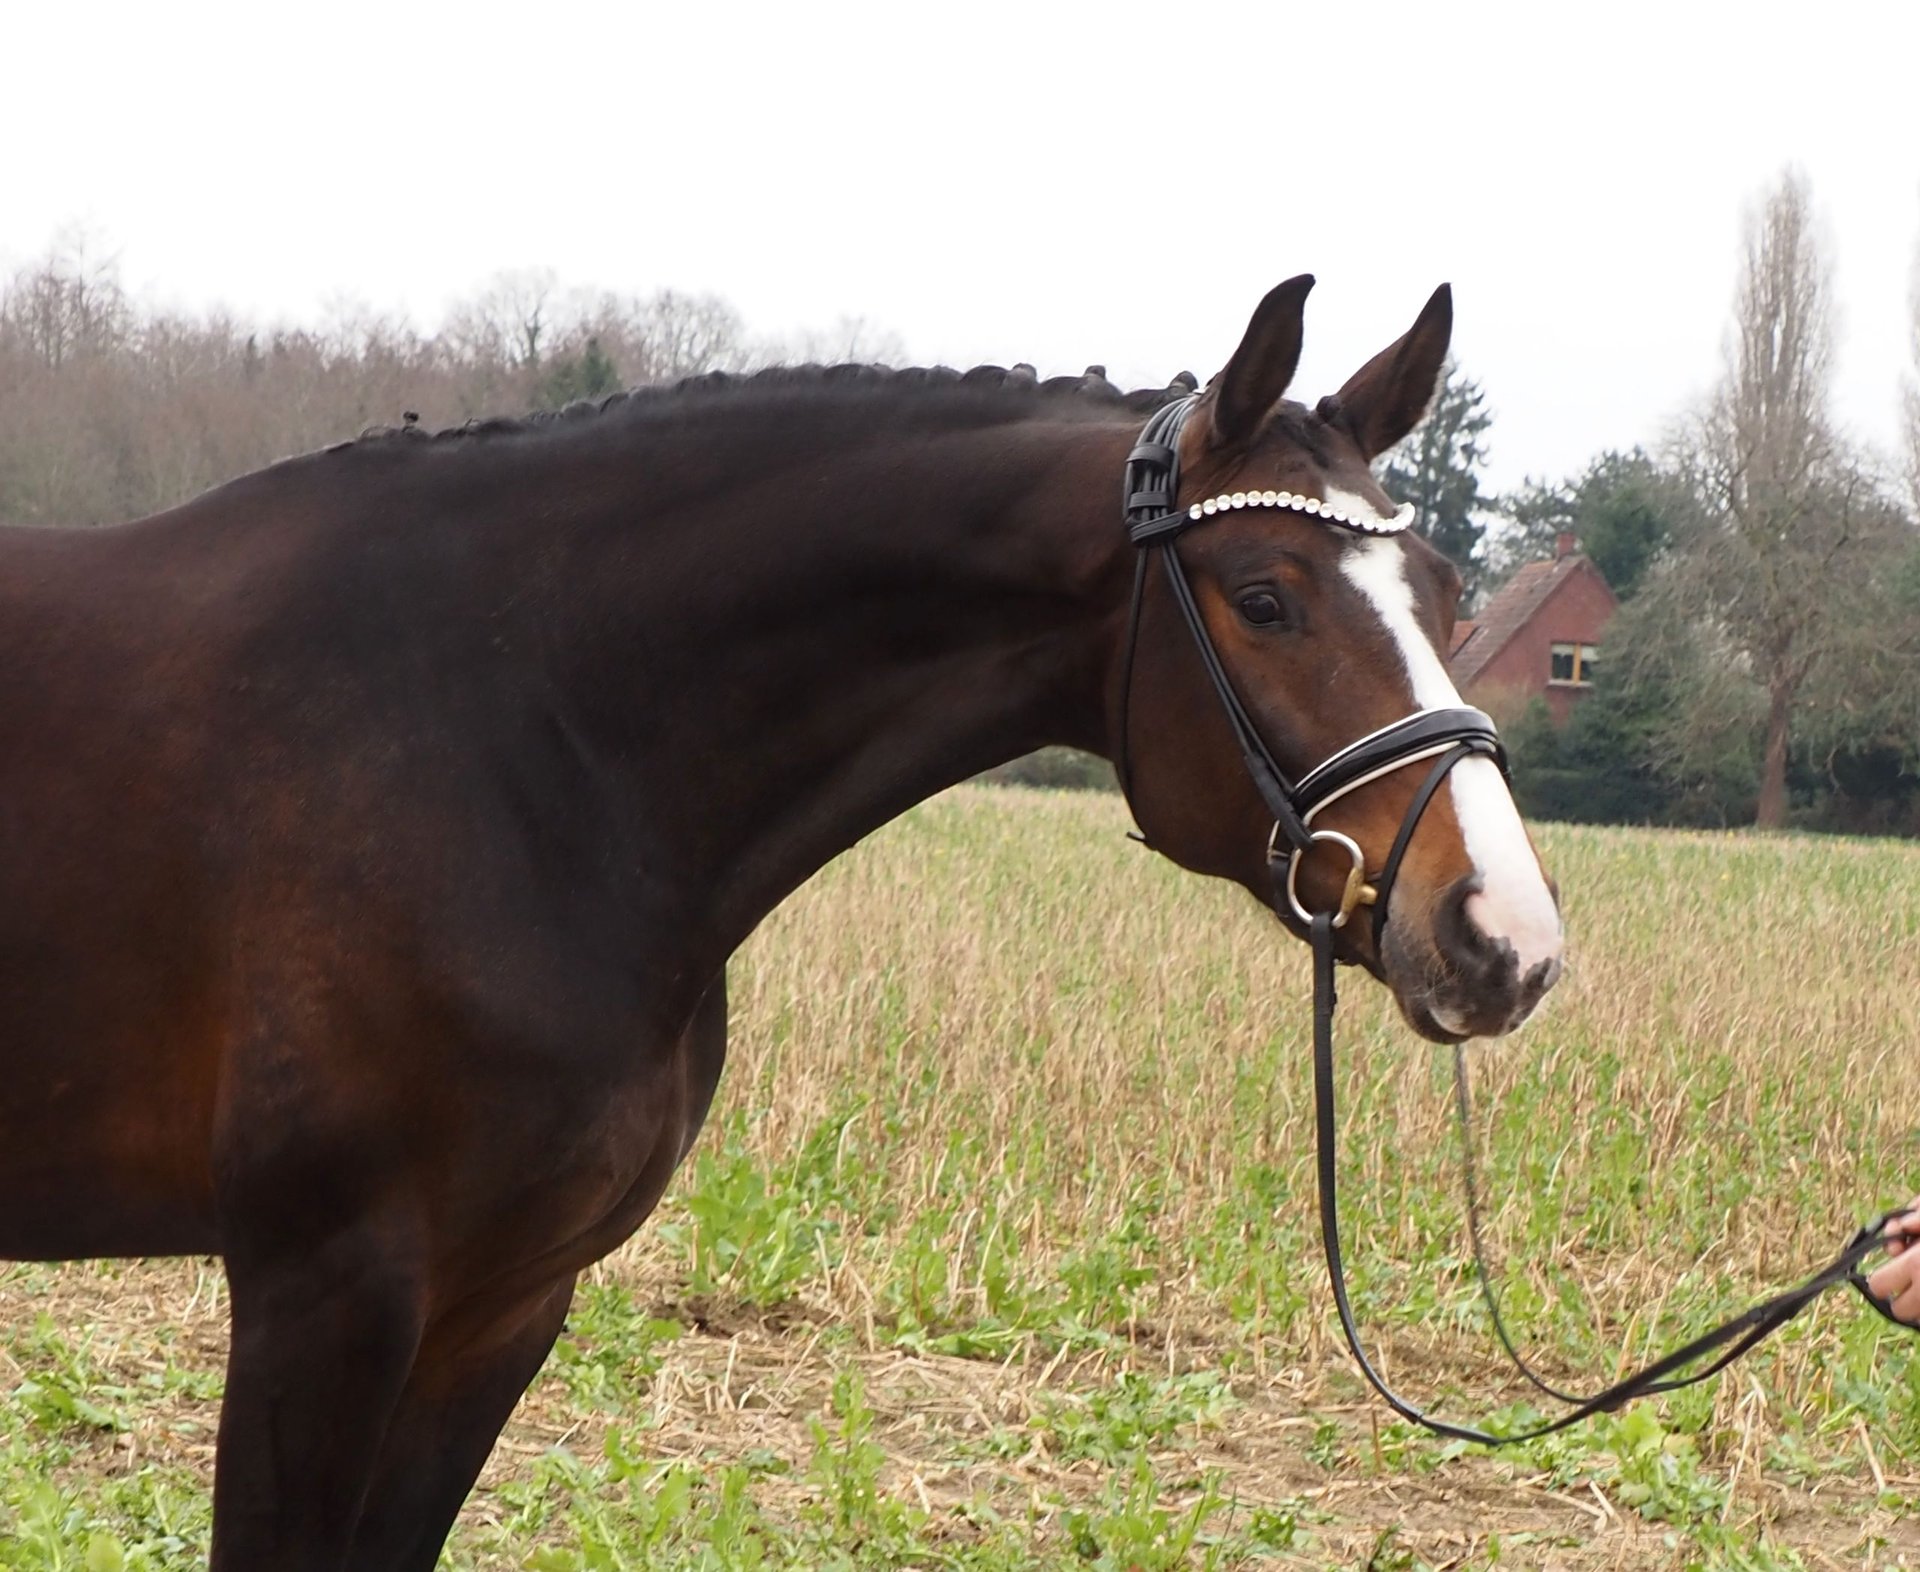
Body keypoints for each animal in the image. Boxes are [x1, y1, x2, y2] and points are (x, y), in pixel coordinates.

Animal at [0, 274, 1563, 1568]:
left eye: (1445, 592)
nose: (1504, 938)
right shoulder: (326, 1292)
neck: (512, 733)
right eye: (1264, 598)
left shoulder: (499, 1304)